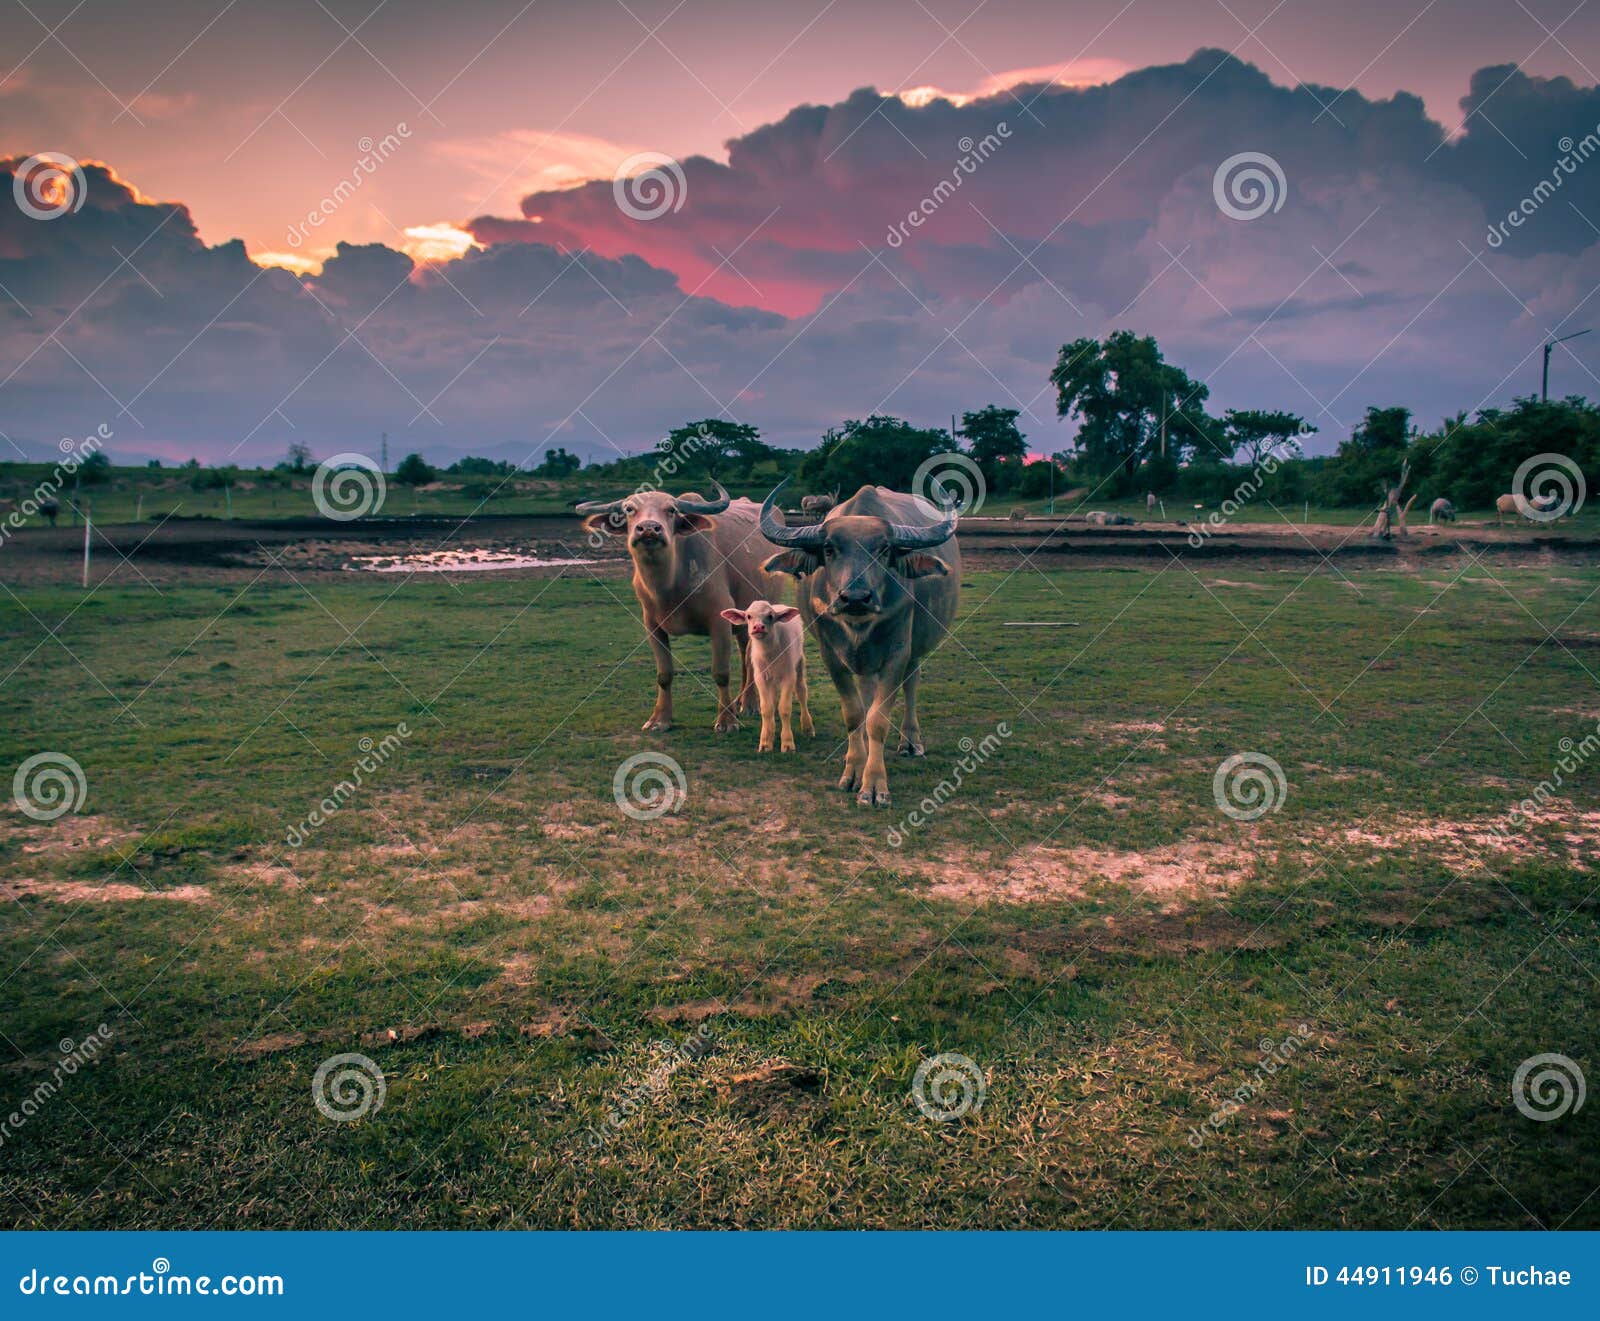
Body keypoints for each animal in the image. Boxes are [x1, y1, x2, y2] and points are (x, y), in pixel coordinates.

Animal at [760, 480, 960, 806]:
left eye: (884, 549)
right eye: (829, 549)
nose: (855, 598)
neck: (858, 624)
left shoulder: (897, 654)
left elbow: (878, 720)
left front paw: (874, 785)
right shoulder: (830, 655)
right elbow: (854, 713)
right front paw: (854, 769)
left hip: (915, 652)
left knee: (911, 684)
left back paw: (910, 742)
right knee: (866, 694)